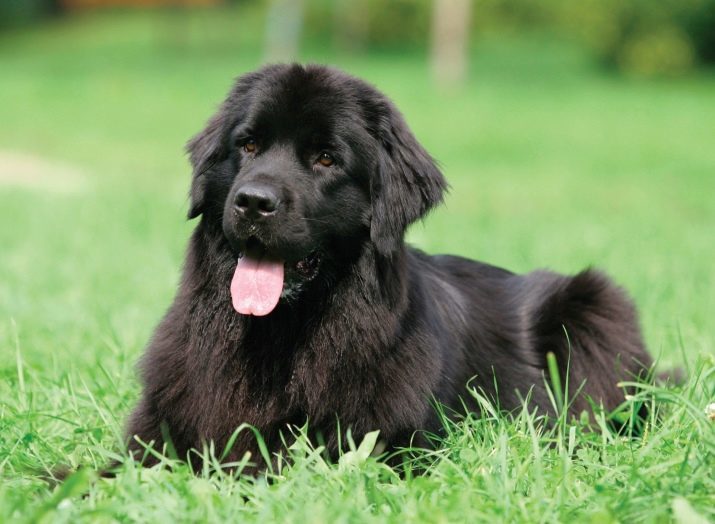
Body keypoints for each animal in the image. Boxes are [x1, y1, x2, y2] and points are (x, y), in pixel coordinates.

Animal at [124, 63, 656, 468]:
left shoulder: (387, 441)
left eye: (325, 159)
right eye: (248, 145)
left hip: (594, 303)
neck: (278, 337)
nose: (254, 202)